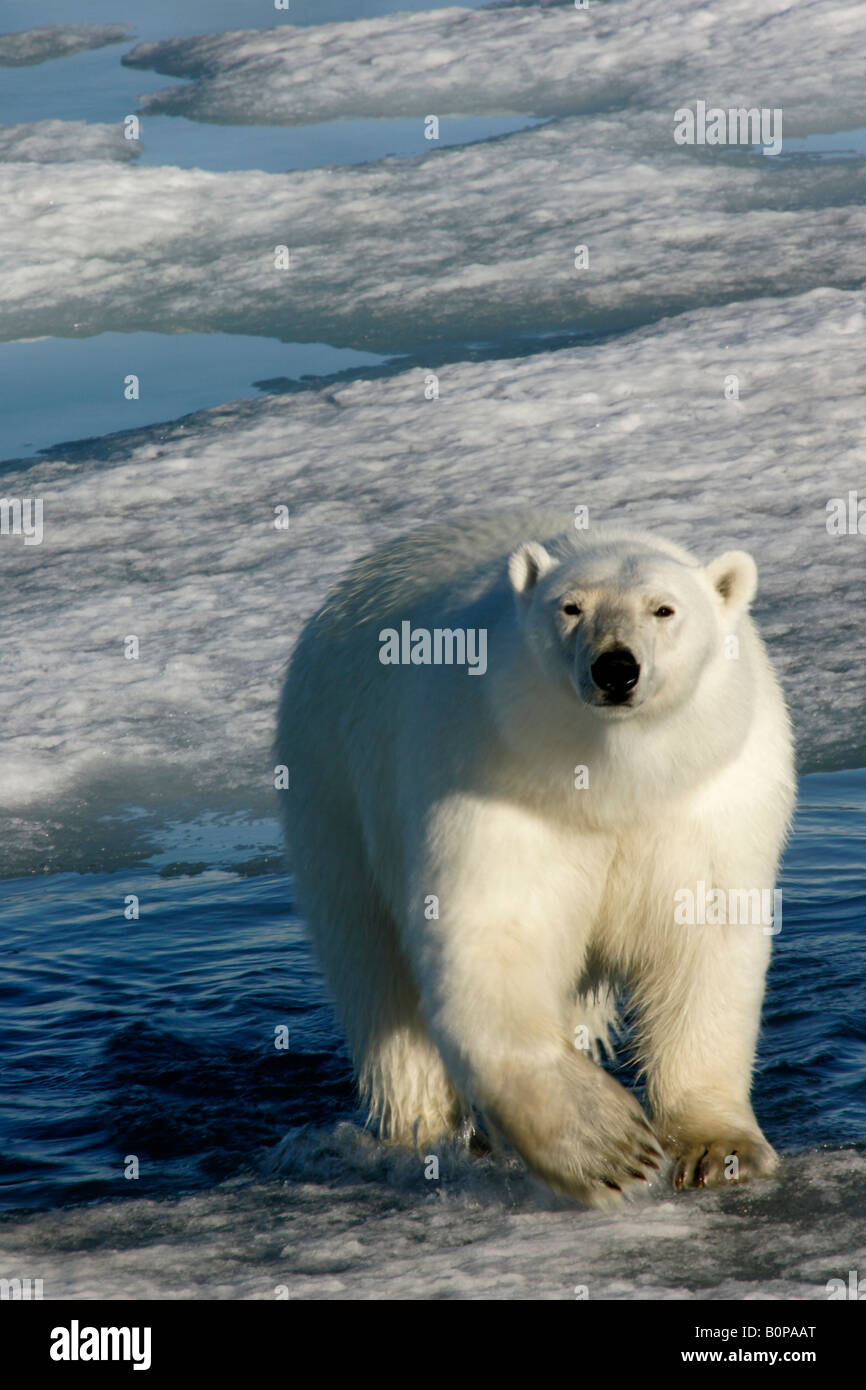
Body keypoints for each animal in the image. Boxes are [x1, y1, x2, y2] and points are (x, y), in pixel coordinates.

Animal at [276, 510, 795, 1205]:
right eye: (570, 607)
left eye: (664, 608)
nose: (615, 669)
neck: (614, 778)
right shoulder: (496, 773)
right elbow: (494, 938)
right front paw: (608, 1146)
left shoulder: (707, 800)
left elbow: (703, 941)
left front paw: (719, 1148)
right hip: (332, 786)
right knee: (378, 979)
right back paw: (422, 1135)